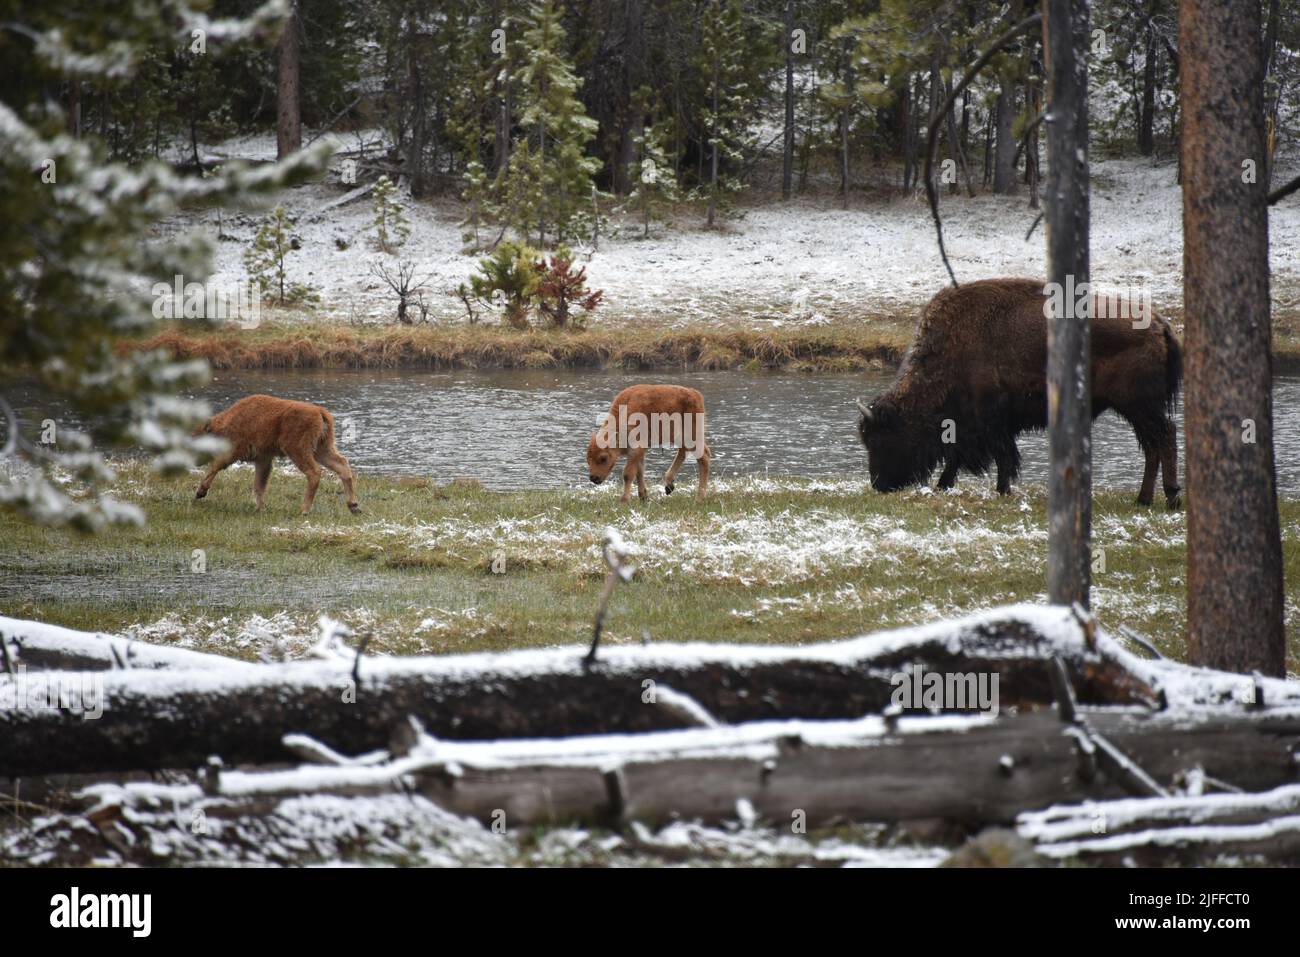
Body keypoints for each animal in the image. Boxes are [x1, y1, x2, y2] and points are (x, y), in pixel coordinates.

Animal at [856, 278, 1182, 509]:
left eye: (881, 438)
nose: (878, 484)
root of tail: (1159, 325)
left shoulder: (990, 423)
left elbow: (1001, 458)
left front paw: (1001, 490)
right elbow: (961, 457)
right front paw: (944, 485)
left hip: (1138, 406)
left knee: (1164, 437)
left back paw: (1171, 498)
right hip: (1137, 410)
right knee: (1153, 445)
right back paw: (1144, 499)